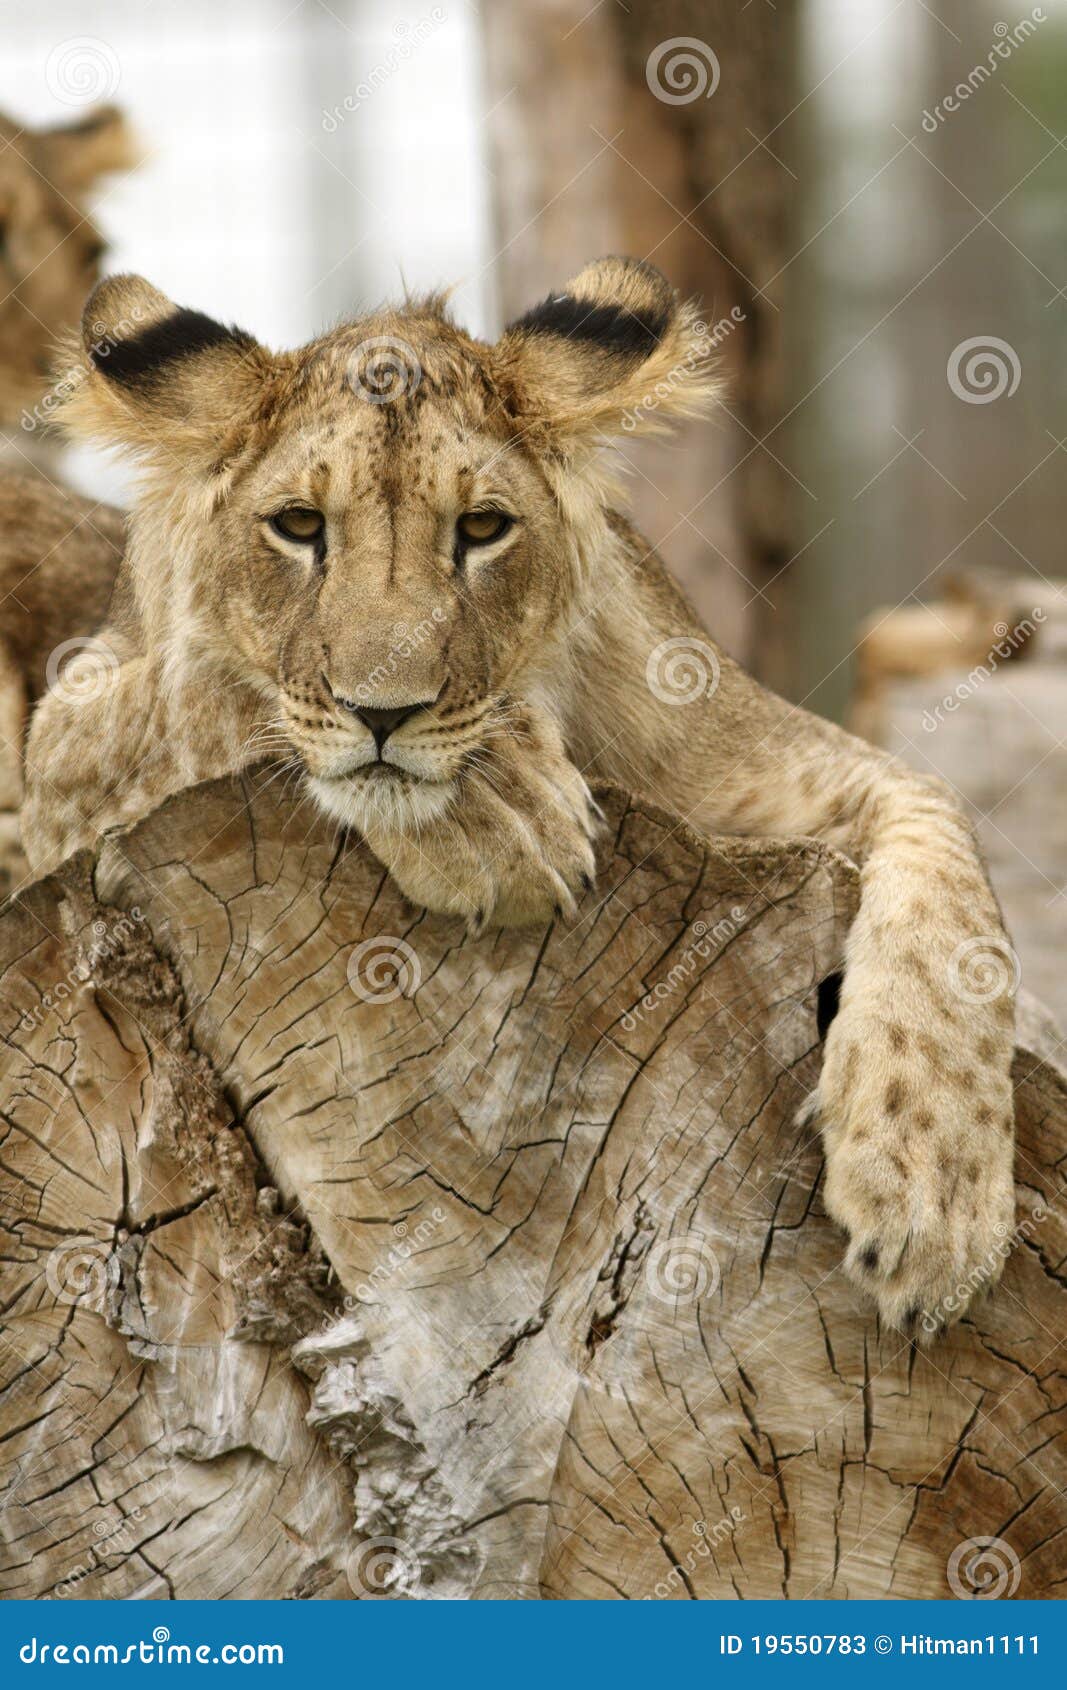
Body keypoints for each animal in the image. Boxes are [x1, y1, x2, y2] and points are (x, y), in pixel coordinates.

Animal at [16, 258, 1017, 1337]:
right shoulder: (60, 748)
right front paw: (500, 820)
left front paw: (934, 1189)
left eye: (483, 529)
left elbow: (956, 902)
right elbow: (211, 685)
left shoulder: (795, 763)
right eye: (298, 526)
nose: (384, 710)